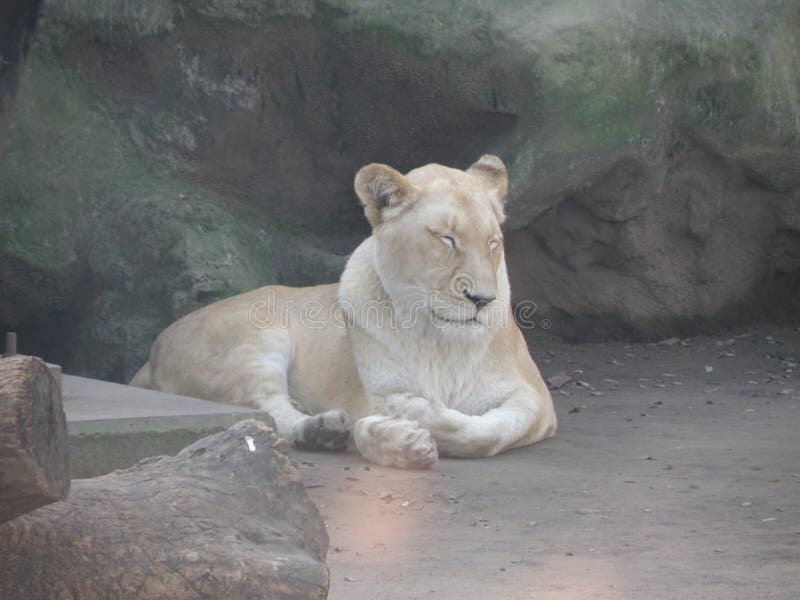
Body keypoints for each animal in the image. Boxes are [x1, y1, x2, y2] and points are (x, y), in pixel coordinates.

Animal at [131, 155, 556, 468]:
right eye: (445, 238)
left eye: (493, 243)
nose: (483, 300)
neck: (441, 340)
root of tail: (151, 353)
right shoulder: (373, 395)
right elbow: (370, 425)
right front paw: (405, 433)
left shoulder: (535, 398)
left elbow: (489, 431)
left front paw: (417, 414)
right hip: (260, 340)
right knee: (266, 412)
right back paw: (325, 428)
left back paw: (324, 429)